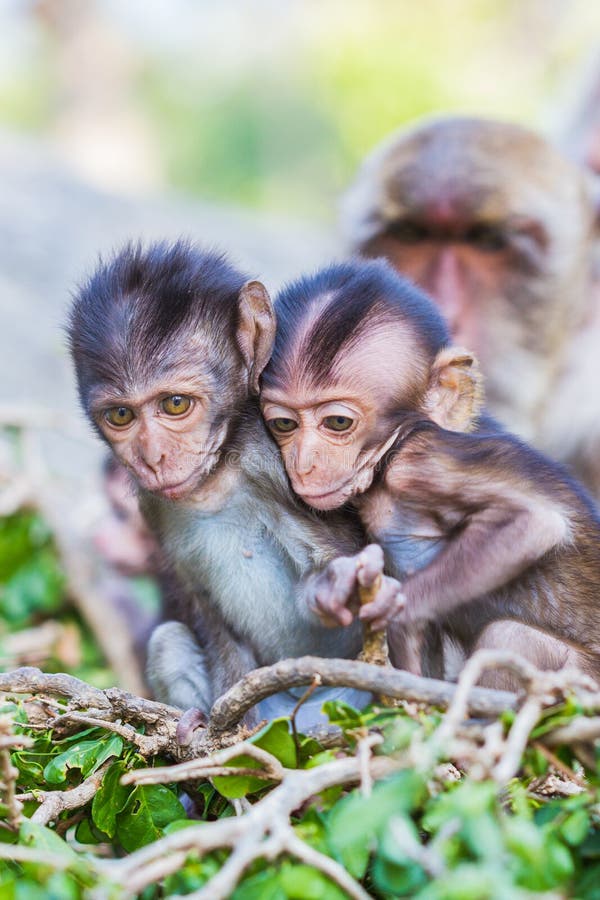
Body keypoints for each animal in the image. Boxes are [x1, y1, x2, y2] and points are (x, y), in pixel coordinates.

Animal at [67, 241, 404, 728]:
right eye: (121, 415)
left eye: (175, 404)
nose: (153, 459)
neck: (217, 478)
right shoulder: (154, 504)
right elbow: (203, 608)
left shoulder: (273, 461)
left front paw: (338, 582)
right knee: (167, 641)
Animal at [260, 259, 600, 684]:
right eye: (284, 425)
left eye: (337, 423)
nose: (304, 464)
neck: (390, 454)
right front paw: (334, 586)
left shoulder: (418, 463)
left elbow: (533, 520)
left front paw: (401, 615)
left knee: (511, 637)